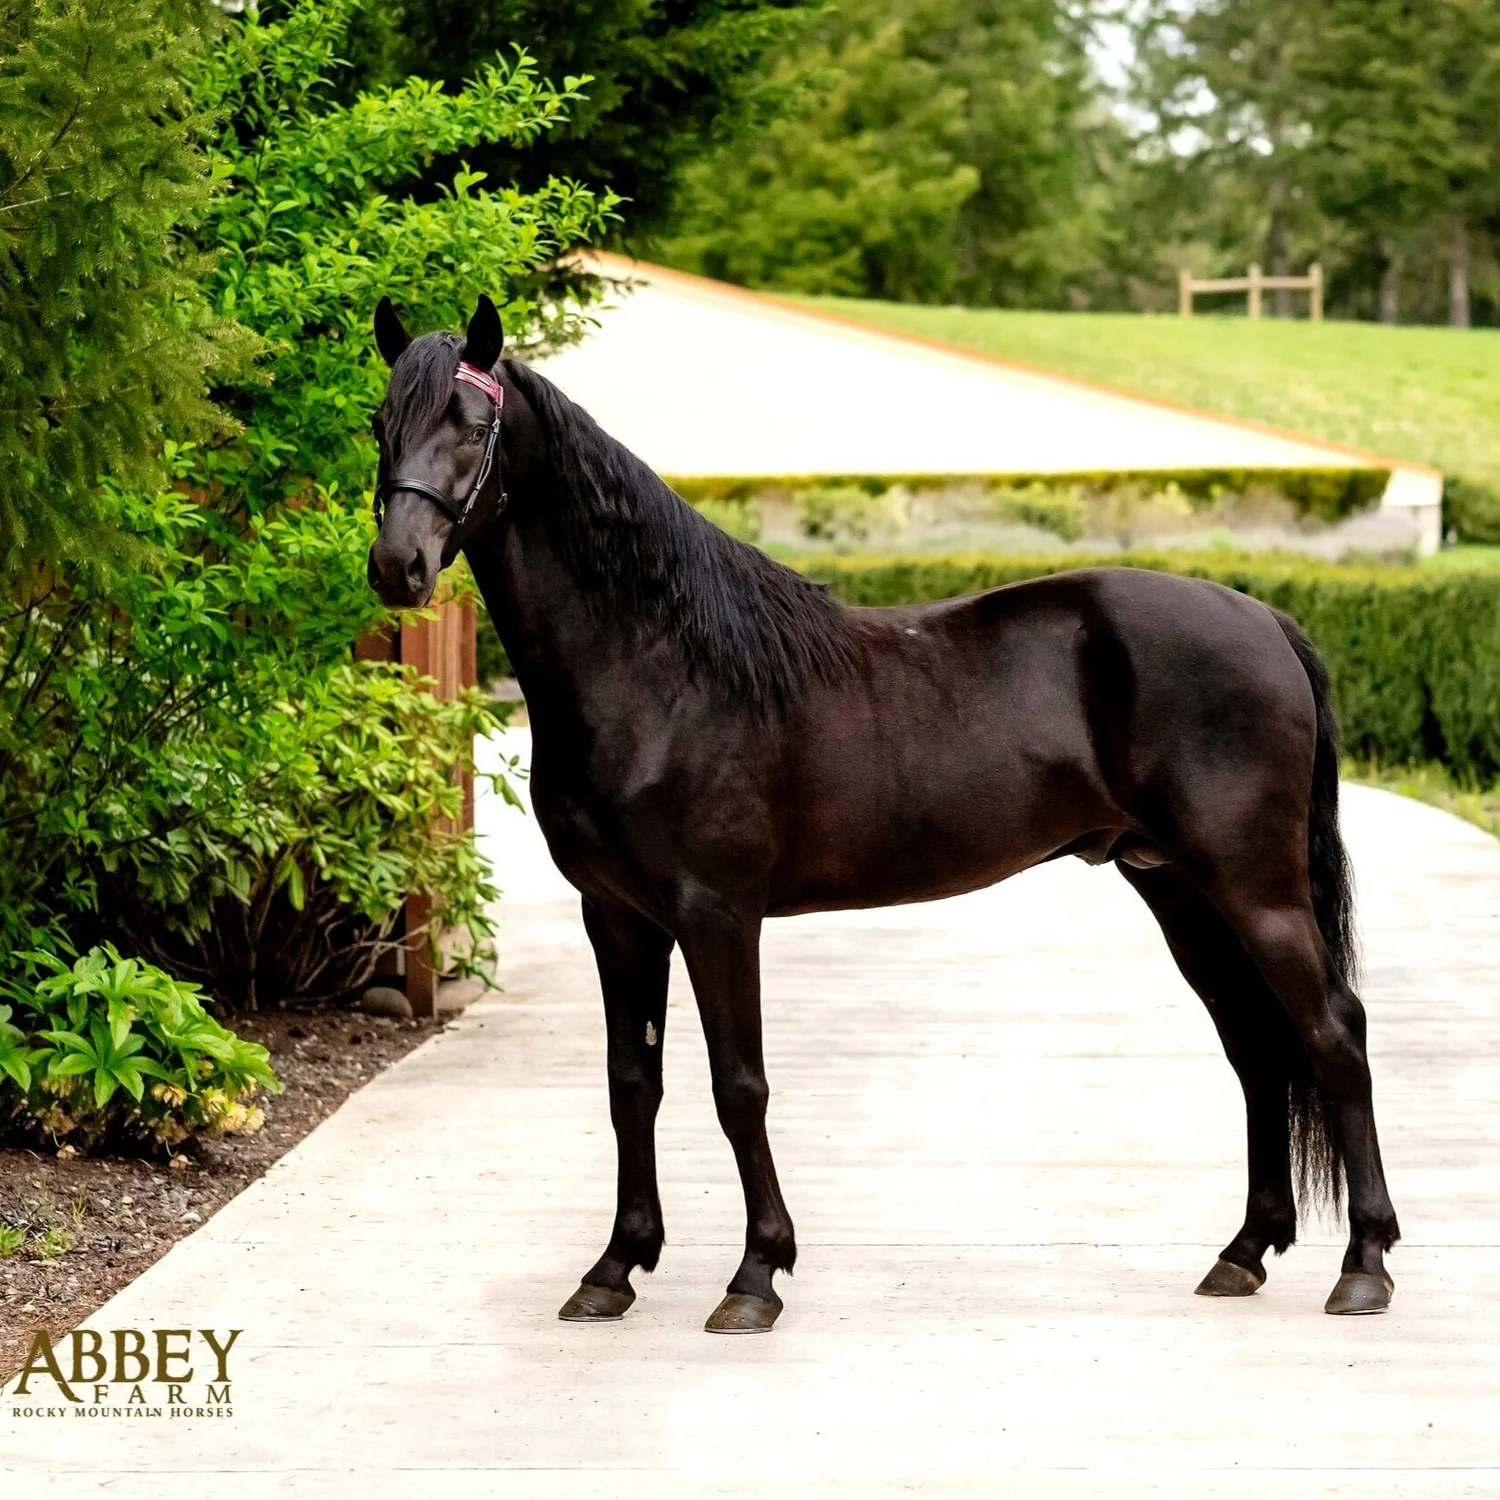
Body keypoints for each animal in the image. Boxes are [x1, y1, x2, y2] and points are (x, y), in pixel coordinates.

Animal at [366, 294, 1399, 1334]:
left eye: (475, 424)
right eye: (382, 424)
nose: (396, 567)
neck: (661, 666)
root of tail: (1264, 618)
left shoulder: (717, 915)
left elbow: (738, 1086)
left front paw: (755, 1276)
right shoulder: (618, 919)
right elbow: (632, 1087)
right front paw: (614, 1268)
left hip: (1254, 888)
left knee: (1333, 1032)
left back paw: (1363, 1266)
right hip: (1180, 889)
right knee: (1255, 1045)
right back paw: (1244, 1252)